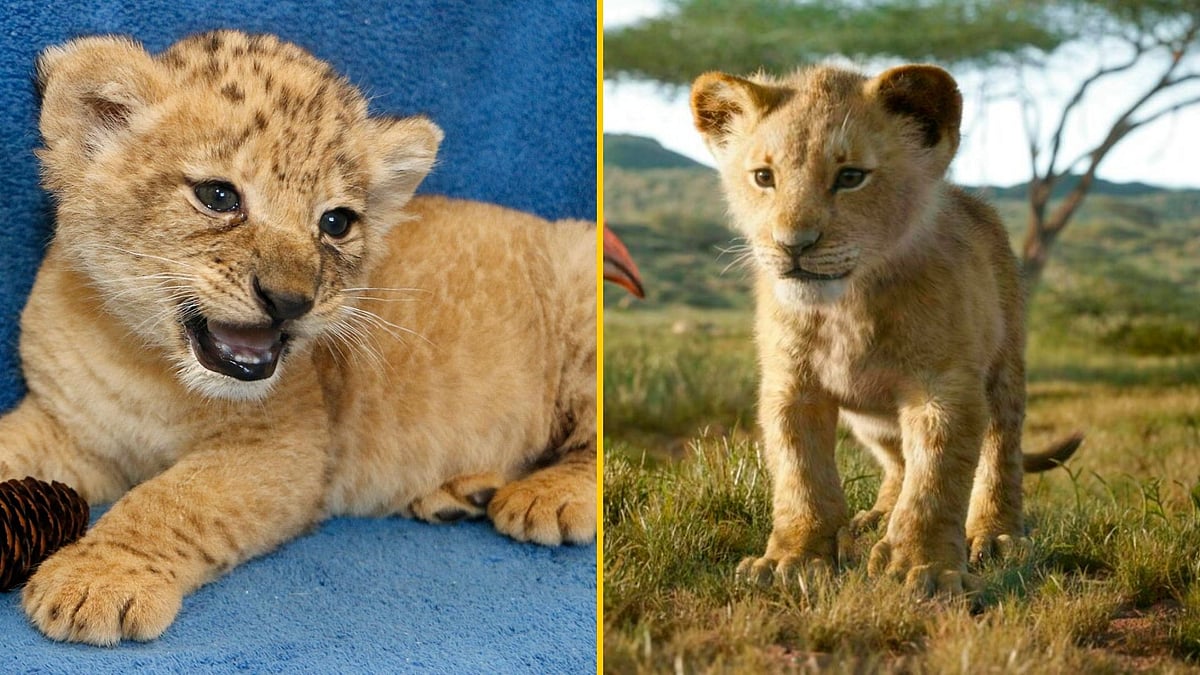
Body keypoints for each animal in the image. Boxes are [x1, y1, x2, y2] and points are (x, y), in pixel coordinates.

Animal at [690, 63, 1079, 594]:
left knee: (1000, 452)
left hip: (1004, 369)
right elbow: (800, 474)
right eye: (764, 177)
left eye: (851, 177)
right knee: (897, 461)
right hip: (870, 419)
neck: (847, 308)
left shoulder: (944, 387)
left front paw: (924, 567)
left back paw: (995, 535)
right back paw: (876, 517)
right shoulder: (791, 387)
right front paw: (792, 559)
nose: (793, 245)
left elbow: (936, 479)